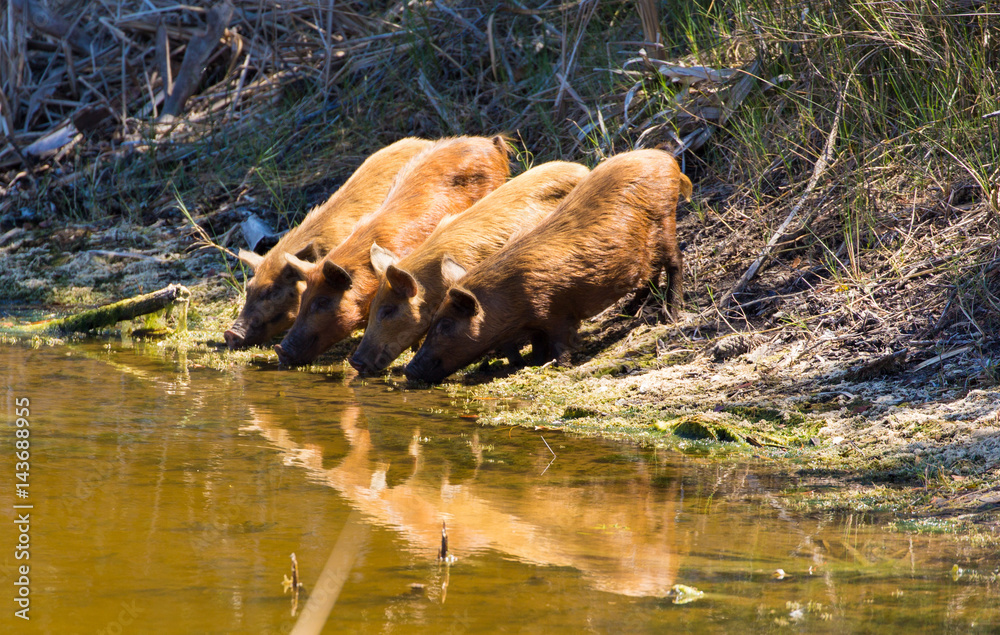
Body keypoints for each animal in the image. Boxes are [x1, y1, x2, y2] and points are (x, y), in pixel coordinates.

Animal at [349, 161, 591, 374]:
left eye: (388, 310)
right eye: (372, 308)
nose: (354, 362)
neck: (435, 284)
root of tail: (582, 168)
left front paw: (514, 363)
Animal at [405, 149, 692, 383]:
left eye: (445, 325)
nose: (408, 369)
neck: (511, 298)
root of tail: (667, 160)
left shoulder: (556, 312)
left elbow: (560, 342)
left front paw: (558, 365)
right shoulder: (535, 324)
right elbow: (538, 346)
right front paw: (536, 363)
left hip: (665, 220)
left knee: (675, 261)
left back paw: (670, 315)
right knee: (649, 273)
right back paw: (629, 311)